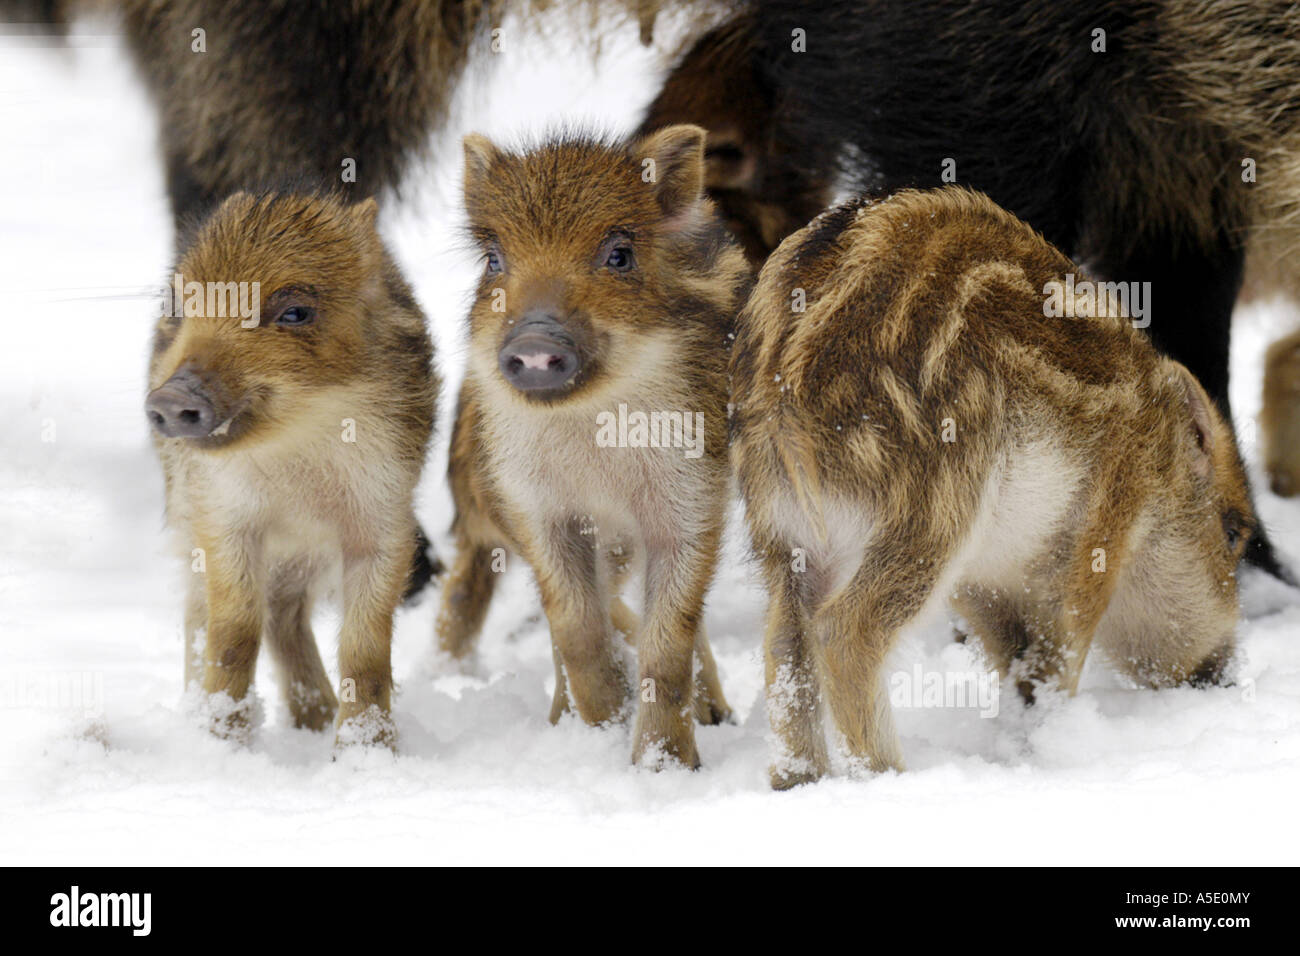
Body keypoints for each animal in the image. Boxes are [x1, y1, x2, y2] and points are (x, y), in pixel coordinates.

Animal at [146, 191, 436, 747]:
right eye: (180, 305)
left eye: (295, 311)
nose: (170, 399)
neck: (299, 462)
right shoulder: (221, 512)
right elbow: (234, 629)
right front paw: (223, 742)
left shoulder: (384, 520)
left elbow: (365, 649)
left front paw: (365, 754)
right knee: (206, 613)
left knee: (285, 615)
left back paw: (316, 721)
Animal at [444, 125, 751, 767]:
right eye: (494, 260)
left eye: (619, 255)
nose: (535, 343)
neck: (592, 441)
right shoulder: (536, 507)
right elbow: (575, 626)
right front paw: (605, 720)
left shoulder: (690, 502)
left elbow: (669, 640)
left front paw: (666, 766)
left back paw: (718, 715)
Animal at [730, 187, 1256, 788]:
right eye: (1233, 533)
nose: (1224, 676)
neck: (1158, 459)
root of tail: (780, 382)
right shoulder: (1103, 521)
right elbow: (1060, 649)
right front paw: (1051, 753)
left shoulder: (985, 578)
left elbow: (1018, 665)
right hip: (934, 503)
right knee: (845, 632)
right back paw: (890, 775)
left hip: (783, 534)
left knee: (783, 641)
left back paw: (799, 782)